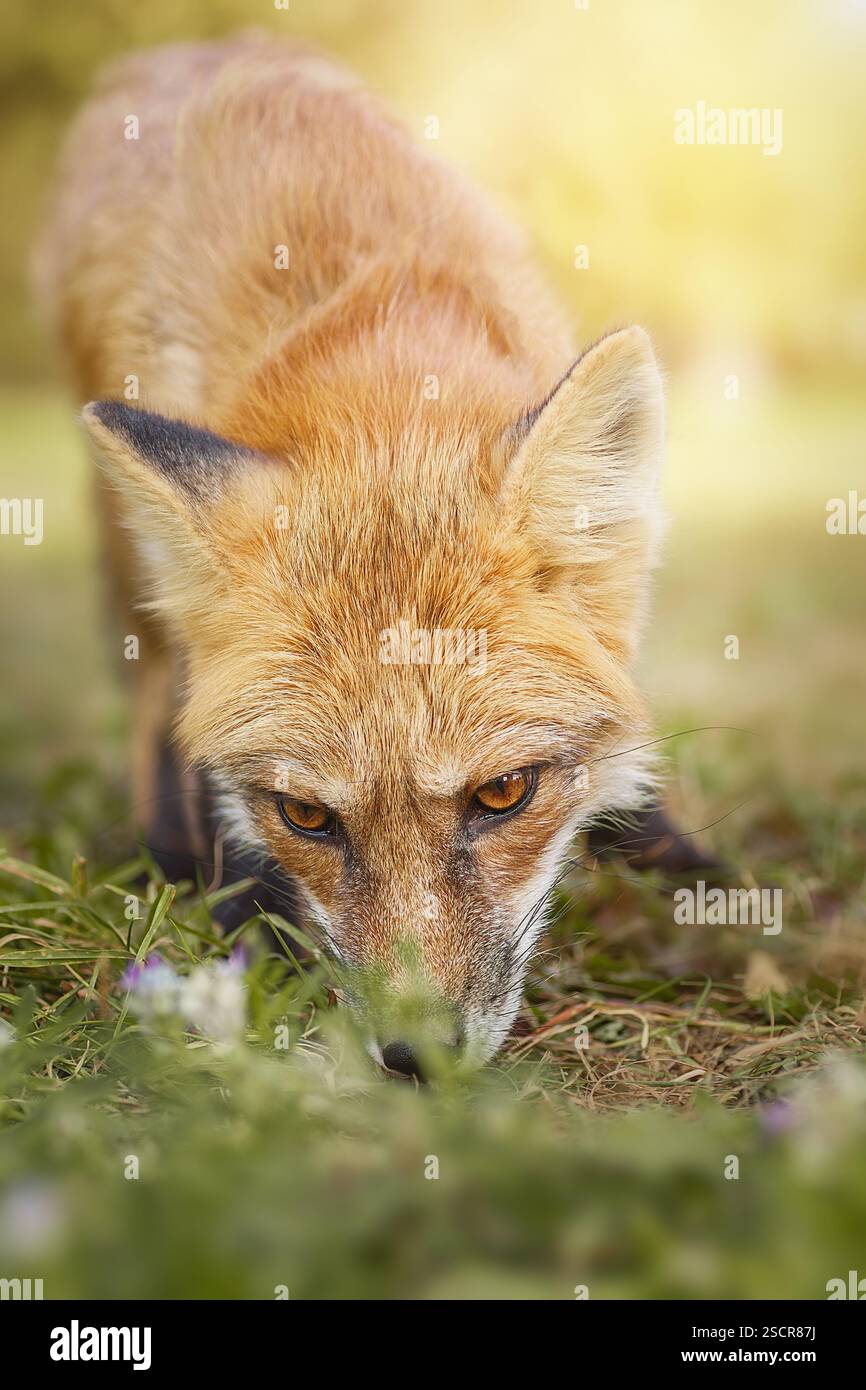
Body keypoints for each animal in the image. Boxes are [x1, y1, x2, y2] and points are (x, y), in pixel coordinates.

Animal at [37, 35, 709, 1073]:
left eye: (505, 792)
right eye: (306, 816)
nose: (415, 1061)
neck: (383, 343)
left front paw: (658, 840)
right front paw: (239, 918)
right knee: (154, 690)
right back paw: (172, 854)